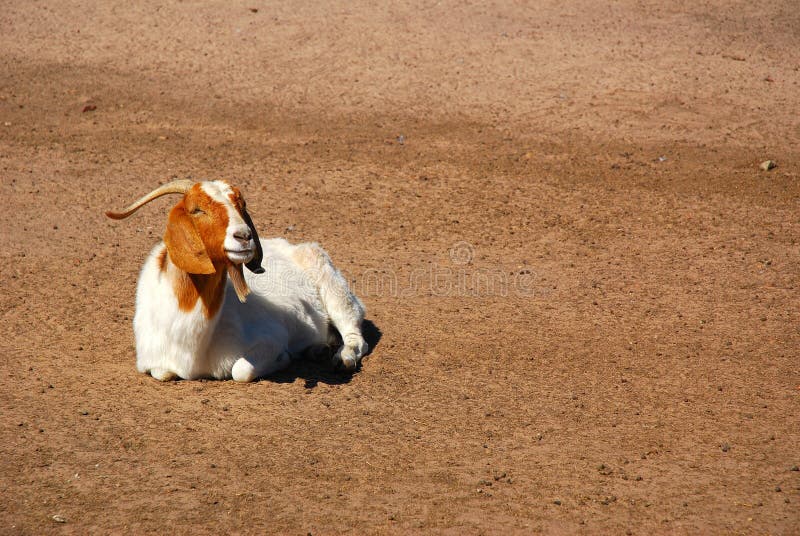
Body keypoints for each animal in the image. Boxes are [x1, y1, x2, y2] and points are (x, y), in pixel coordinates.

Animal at [105, 179, 368, 382]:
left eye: (241, 206)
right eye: (197, 209)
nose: (244, 236)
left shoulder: (270, 338)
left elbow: (240, 370)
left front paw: (283, 359)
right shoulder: (153, 361)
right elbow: (162, 373)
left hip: (333, 287)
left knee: (355, 334)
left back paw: (342, 359)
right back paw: (318, 349)